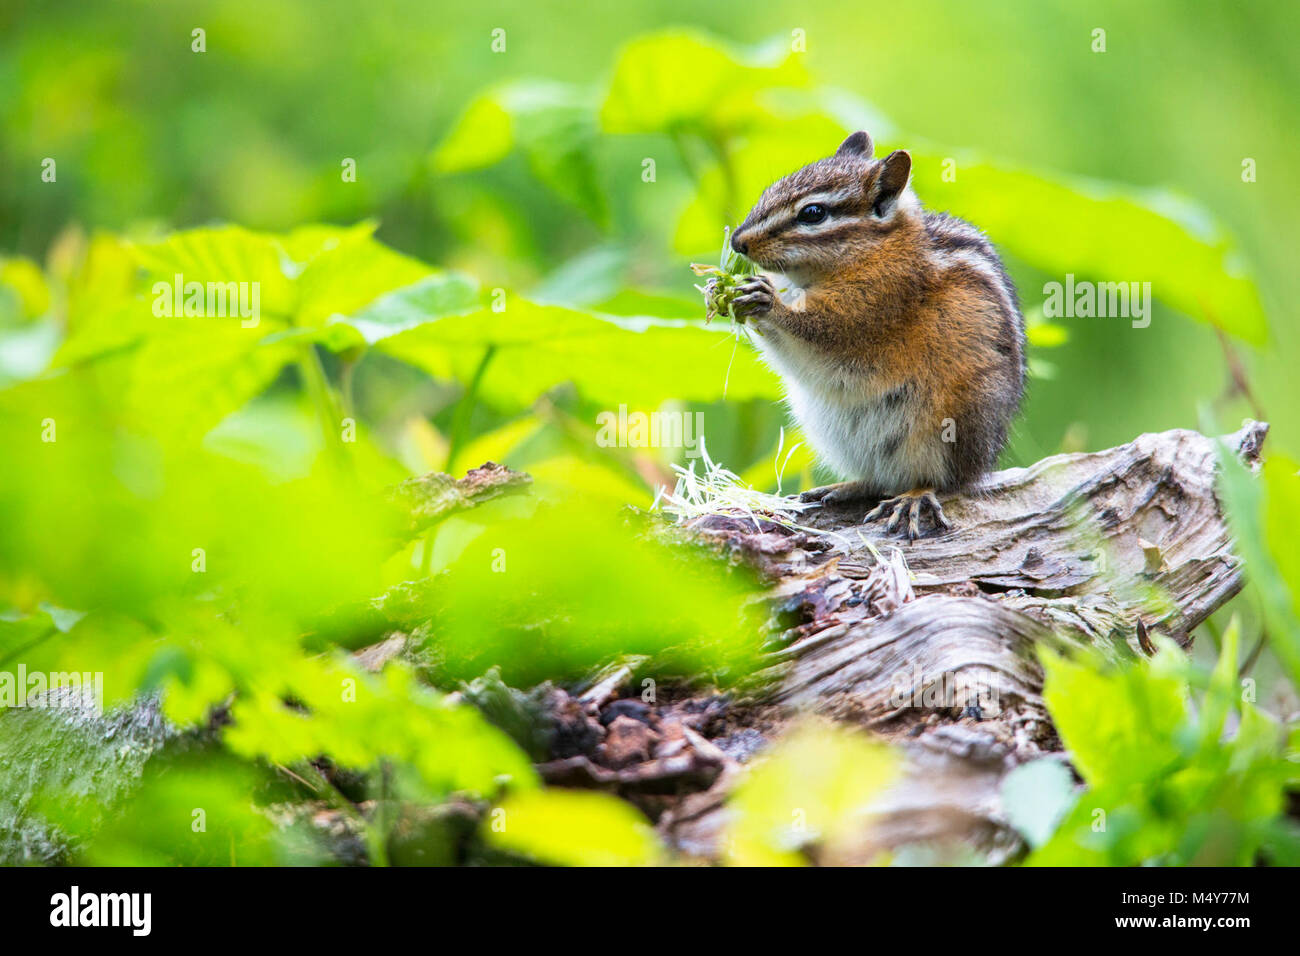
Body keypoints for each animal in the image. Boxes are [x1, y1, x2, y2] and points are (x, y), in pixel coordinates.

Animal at [723, 130, 1026, 539]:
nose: (737, 242)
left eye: (813, 213)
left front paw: (768, 299)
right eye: (769, 190)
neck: (872, 250)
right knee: (880, 478)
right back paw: (846, 486)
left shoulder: (873, 303)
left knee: (940, 481)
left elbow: (823, 329)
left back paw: (914, 496)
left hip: (946, 426)